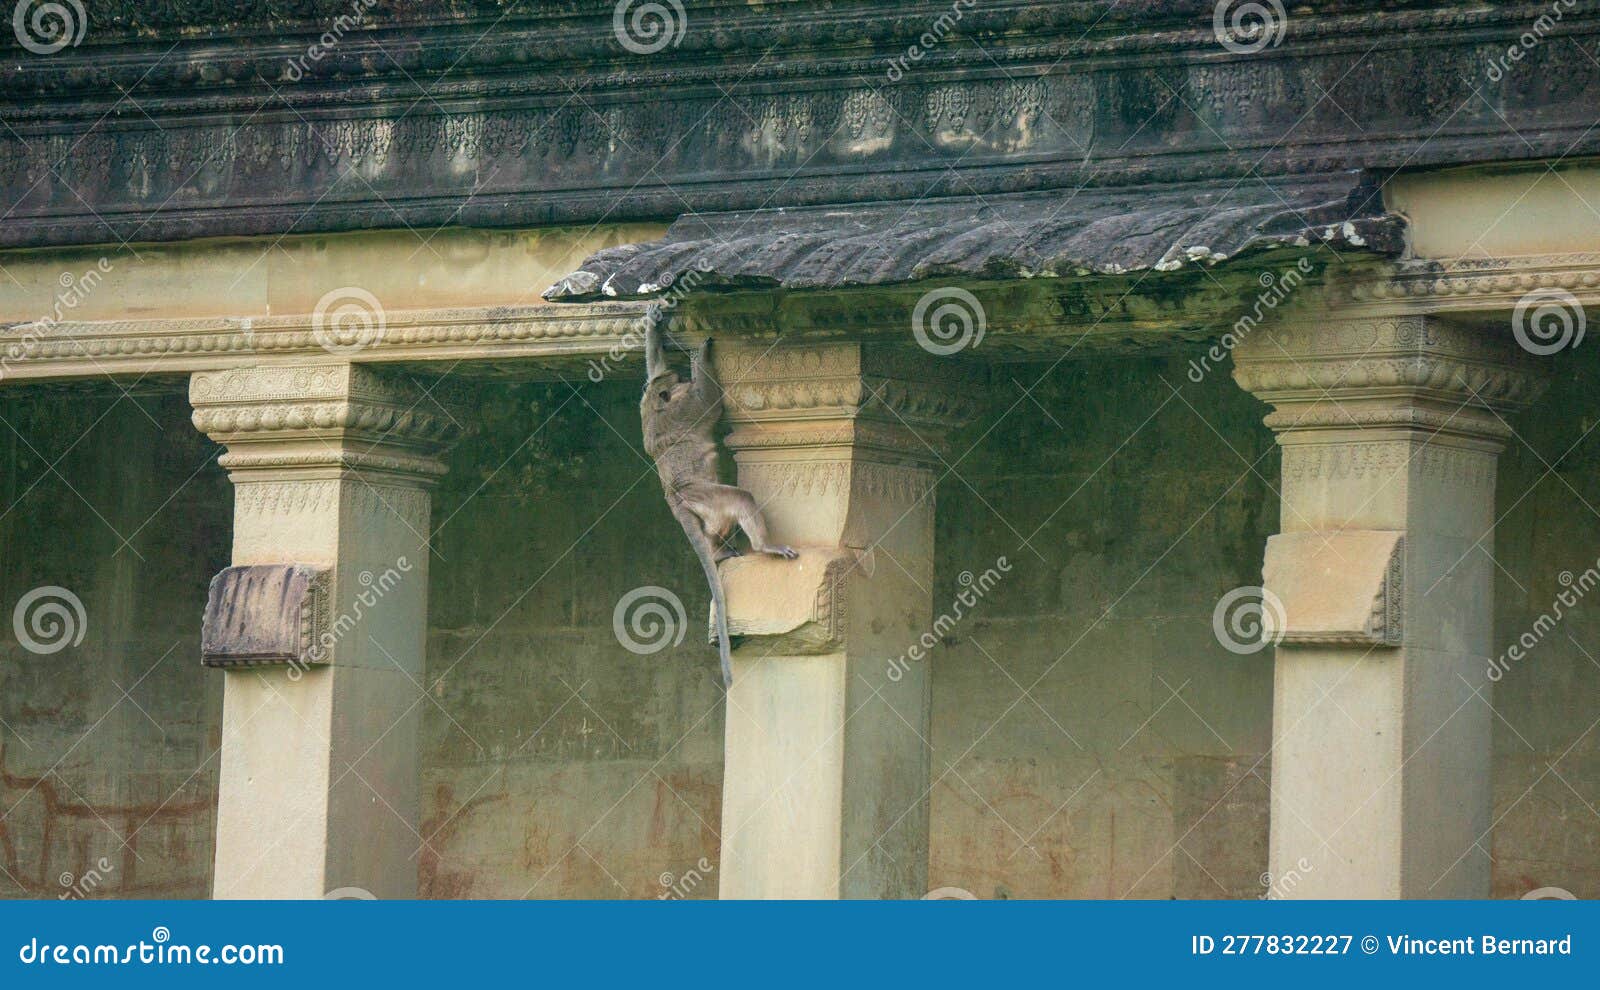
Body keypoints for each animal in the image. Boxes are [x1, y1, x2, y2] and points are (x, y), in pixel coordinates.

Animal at [640, 307, 797, 689]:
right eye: (678, 380)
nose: (684, 377)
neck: (656, 406)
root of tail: (676, 499)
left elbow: (652, 367)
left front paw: (655, 326)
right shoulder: (684, 409)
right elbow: (709, 404)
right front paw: (704, 352)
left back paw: (719, 552)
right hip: (707, 497)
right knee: (740, 499)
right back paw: (764, 546)